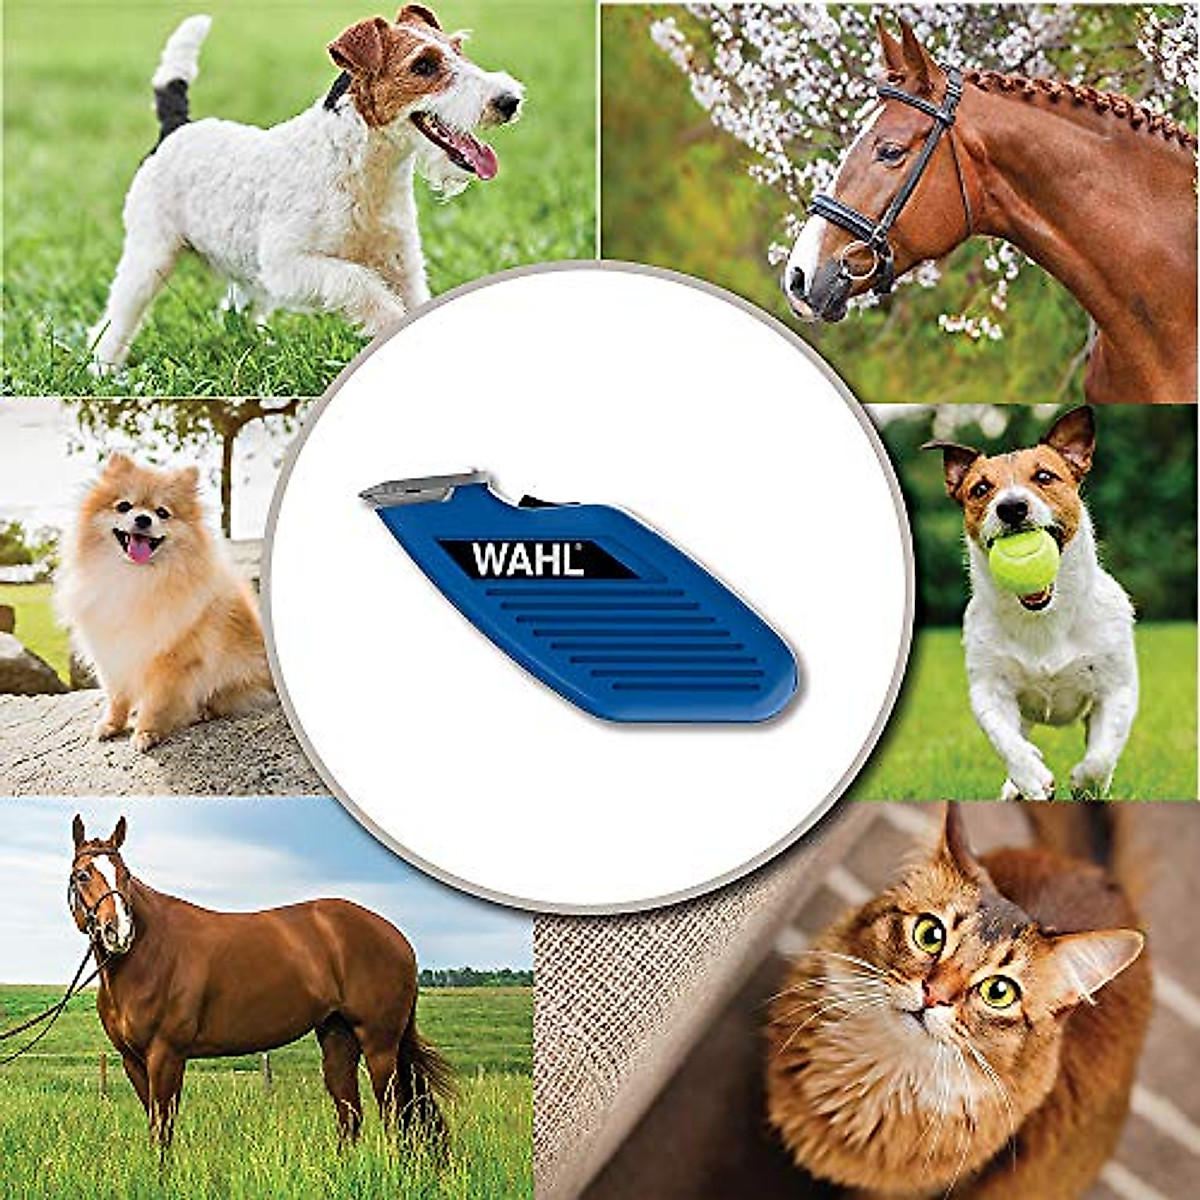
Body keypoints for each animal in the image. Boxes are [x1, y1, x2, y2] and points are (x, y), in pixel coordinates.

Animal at [68, 814, 453, 1153]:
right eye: (83, 875)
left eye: (126, 875)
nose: (119, 932)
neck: (150, 953)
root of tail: (397, 937)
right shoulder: (133, 1061)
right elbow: (155, 1126)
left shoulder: (166, 1055)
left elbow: (163, 1130)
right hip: (338, 1037)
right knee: (351, 1116)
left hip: (379, 1044)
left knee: (396, 1115)